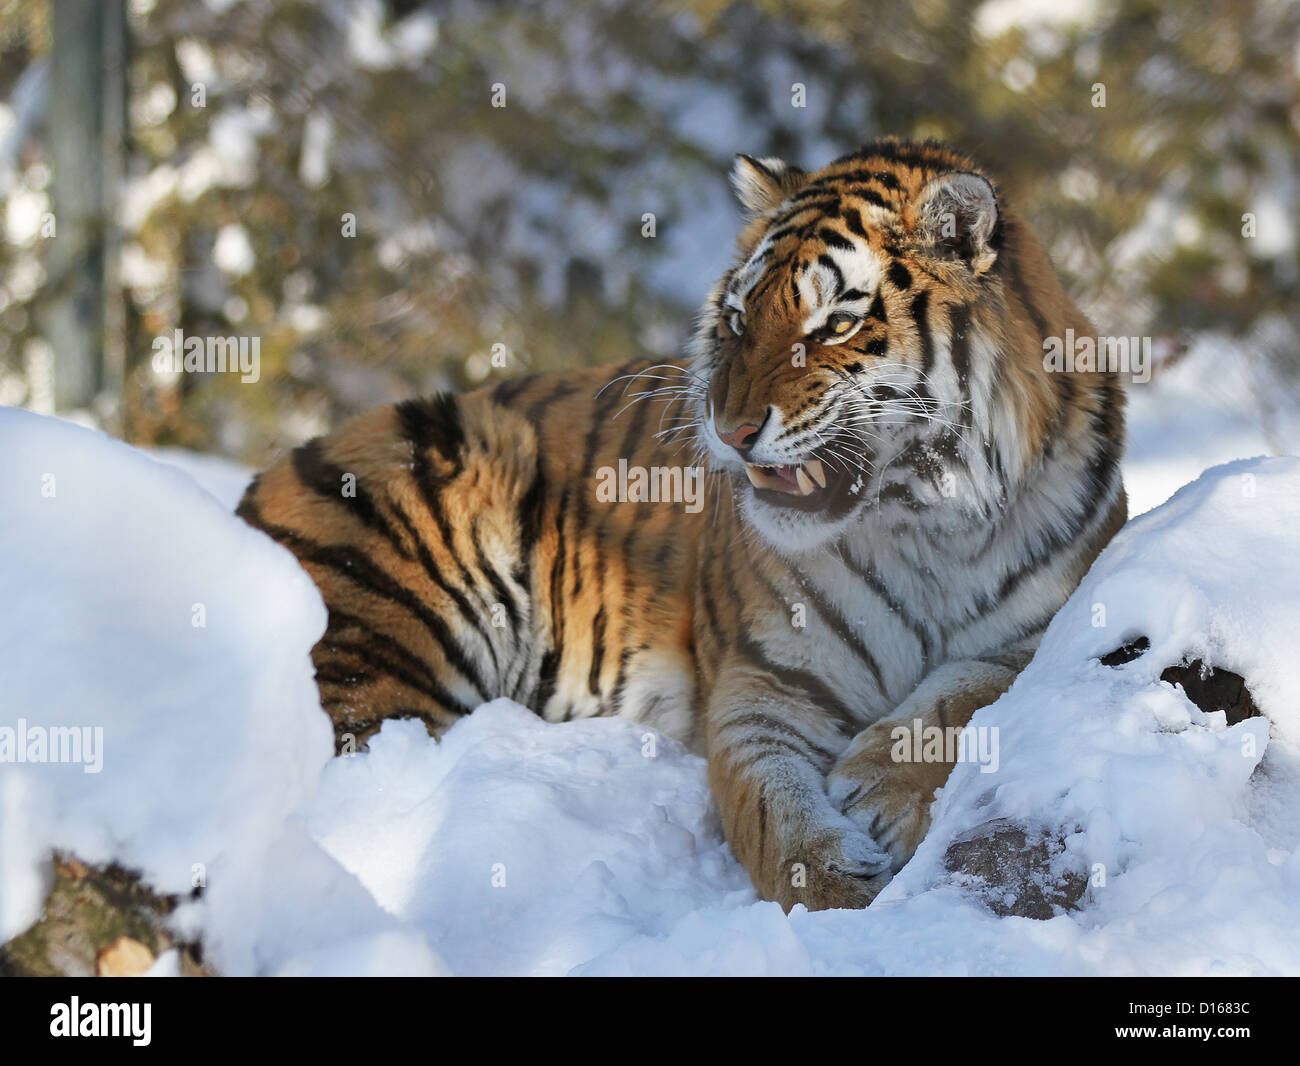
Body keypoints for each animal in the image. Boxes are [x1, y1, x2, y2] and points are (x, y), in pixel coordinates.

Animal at [237, 138, 1126, 912]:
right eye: (737, 321)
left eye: (835, 325)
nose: (729, 430)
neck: (926, 520)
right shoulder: (765, 681)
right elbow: (772, 811)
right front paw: (835, 889)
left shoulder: (1059, 621)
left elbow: (971, 687)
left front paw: (878, 785)